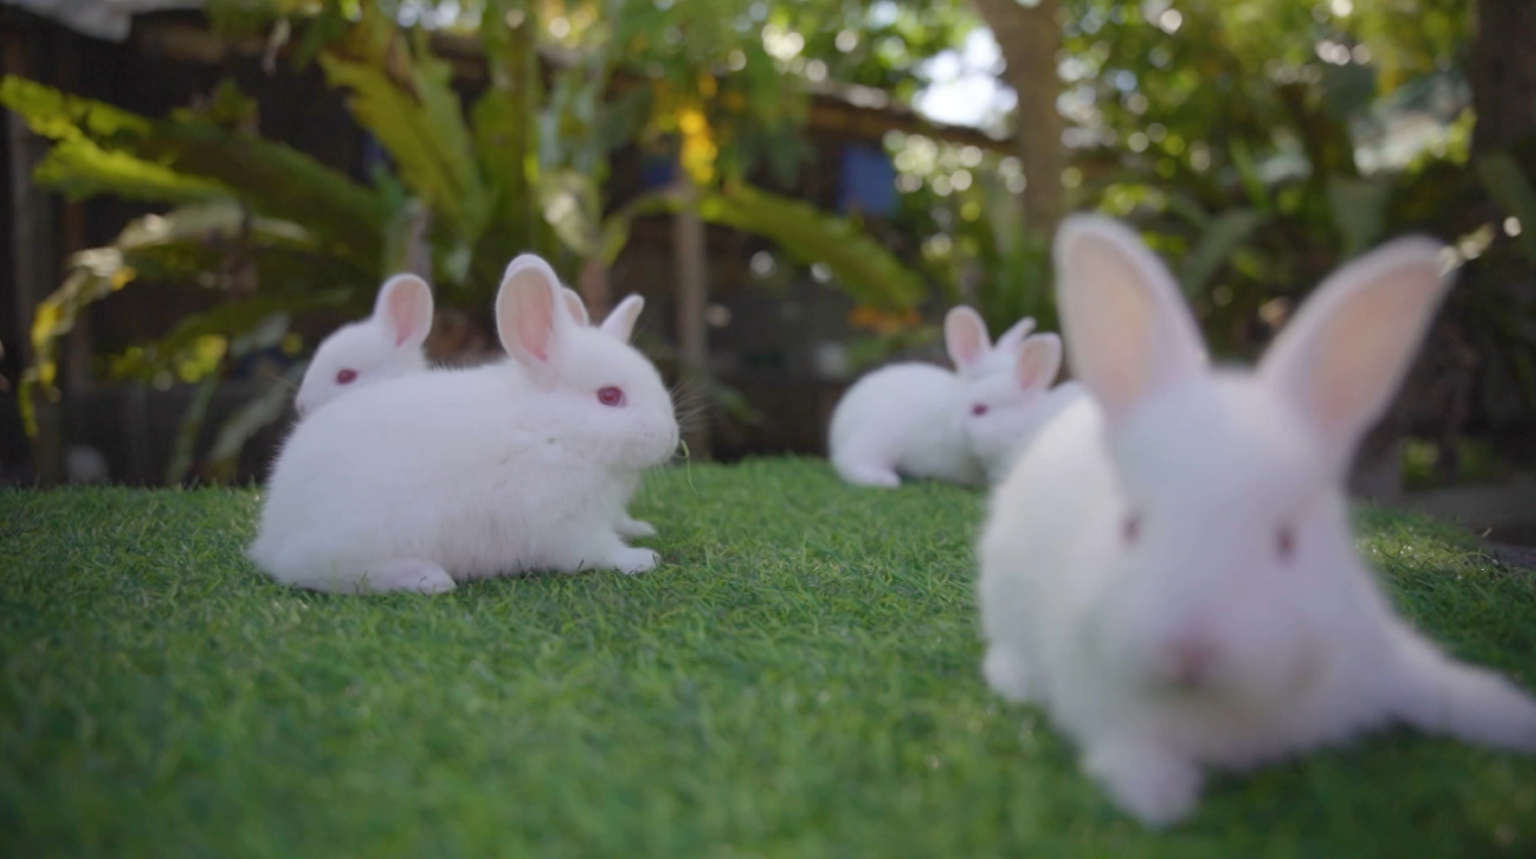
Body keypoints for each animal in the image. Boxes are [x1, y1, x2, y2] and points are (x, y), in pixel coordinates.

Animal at [975, 214, 1536, 828]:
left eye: (1286, 540)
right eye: (1131, 528)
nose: (1190, 649)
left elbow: (1444, 688)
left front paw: (1517, 721)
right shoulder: (1101, 700)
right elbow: (1131, 749)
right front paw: (1160, 799)